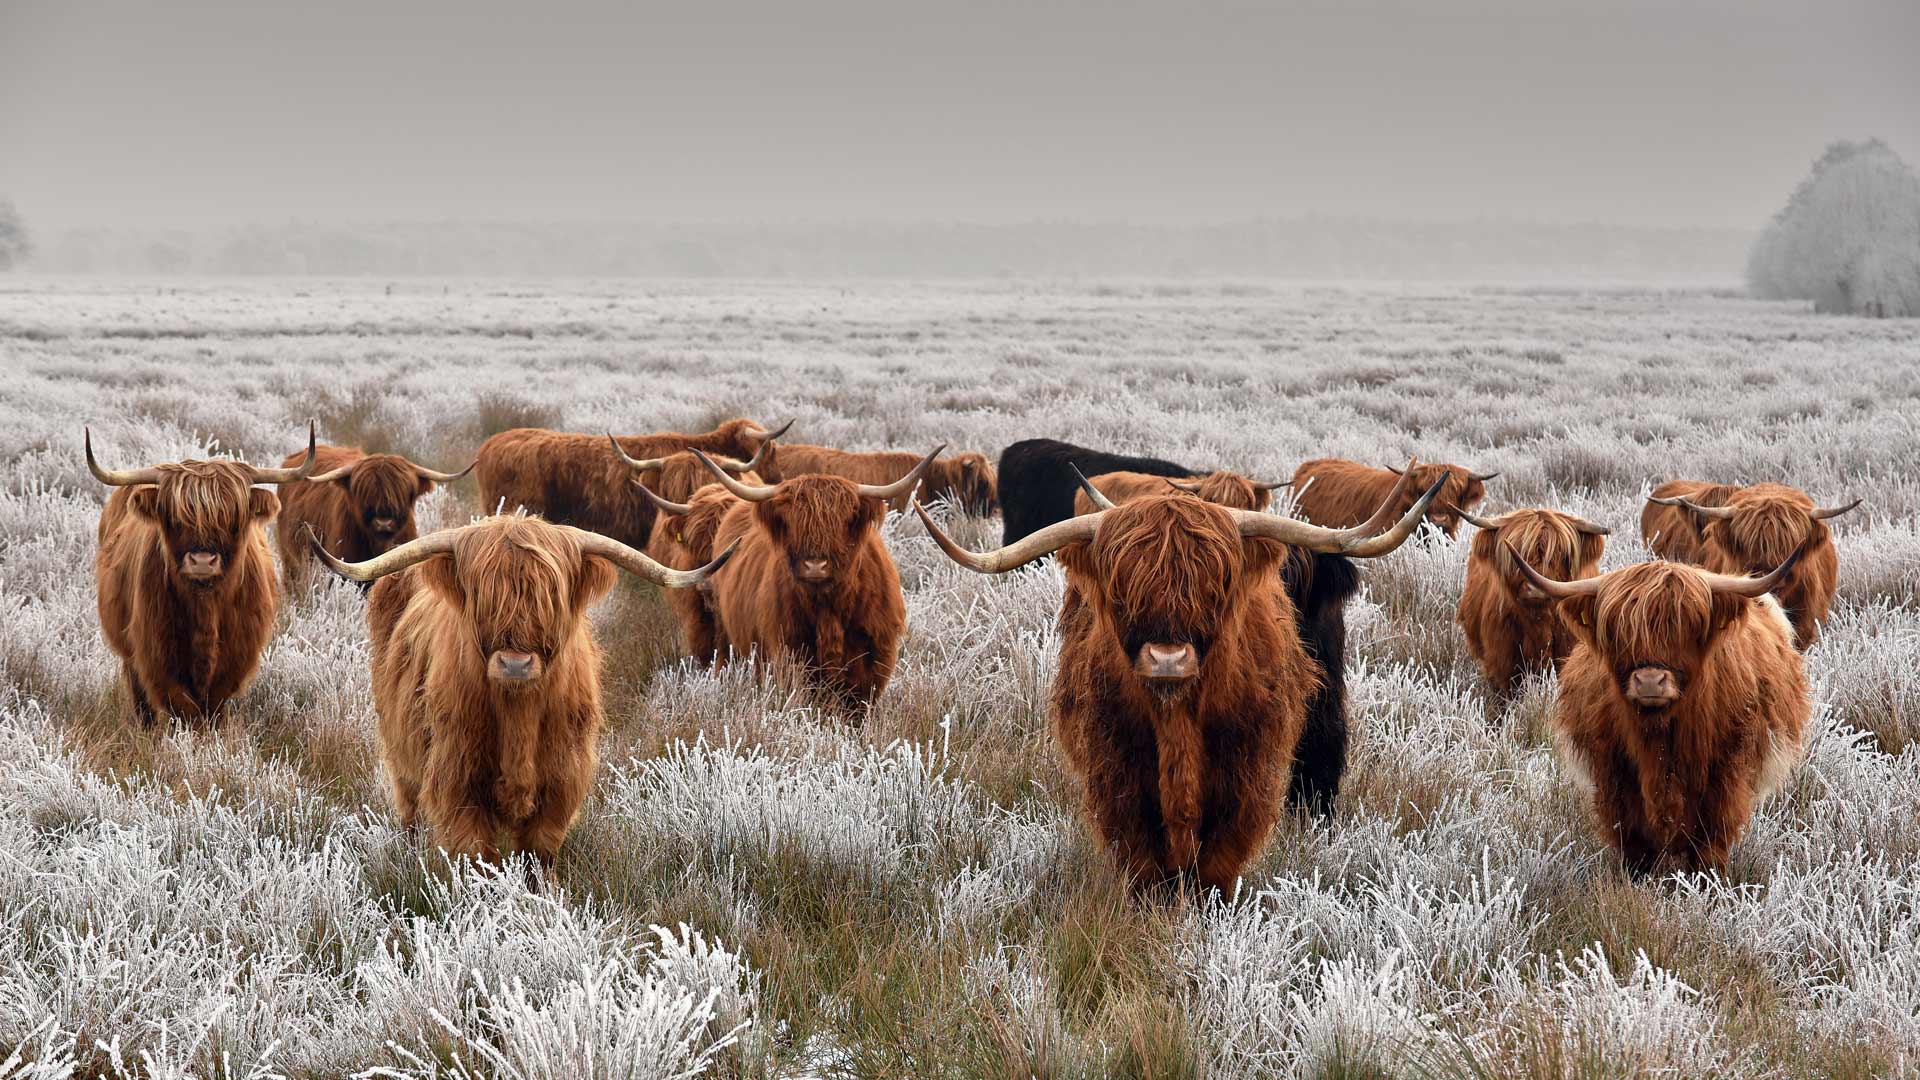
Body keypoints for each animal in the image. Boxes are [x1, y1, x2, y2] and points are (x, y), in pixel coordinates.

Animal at [88, 423, 317, 724]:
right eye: (174, 518)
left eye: (233, 518)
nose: (202, 561)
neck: (205, 607)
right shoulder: (155, 656)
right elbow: (184, 709)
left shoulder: (235, 661)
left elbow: (212, 709)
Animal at [306, 514, 734, 868]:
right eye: (483, 596)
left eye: (550, 596)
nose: (515, 664)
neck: (518, 715)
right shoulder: (457, 779)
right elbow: (477, 856)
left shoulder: (561, 781)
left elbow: (538, 854)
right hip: (402, 756)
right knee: (409, 808)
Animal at [693, 446, 939, 707]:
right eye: (792, 521)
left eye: (843, 521)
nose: (815, 566)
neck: (828, 608)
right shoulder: (790, 655)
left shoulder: (872, 664)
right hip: (726, 637)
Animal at [1510, 541, 1813, 875]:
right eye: (1618, 630)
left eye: (1688, 626)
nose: (1650, 682)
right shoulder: (1613, 773)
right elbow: (1633, 841)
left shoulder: (1727, 772)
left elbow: (1711, 841)